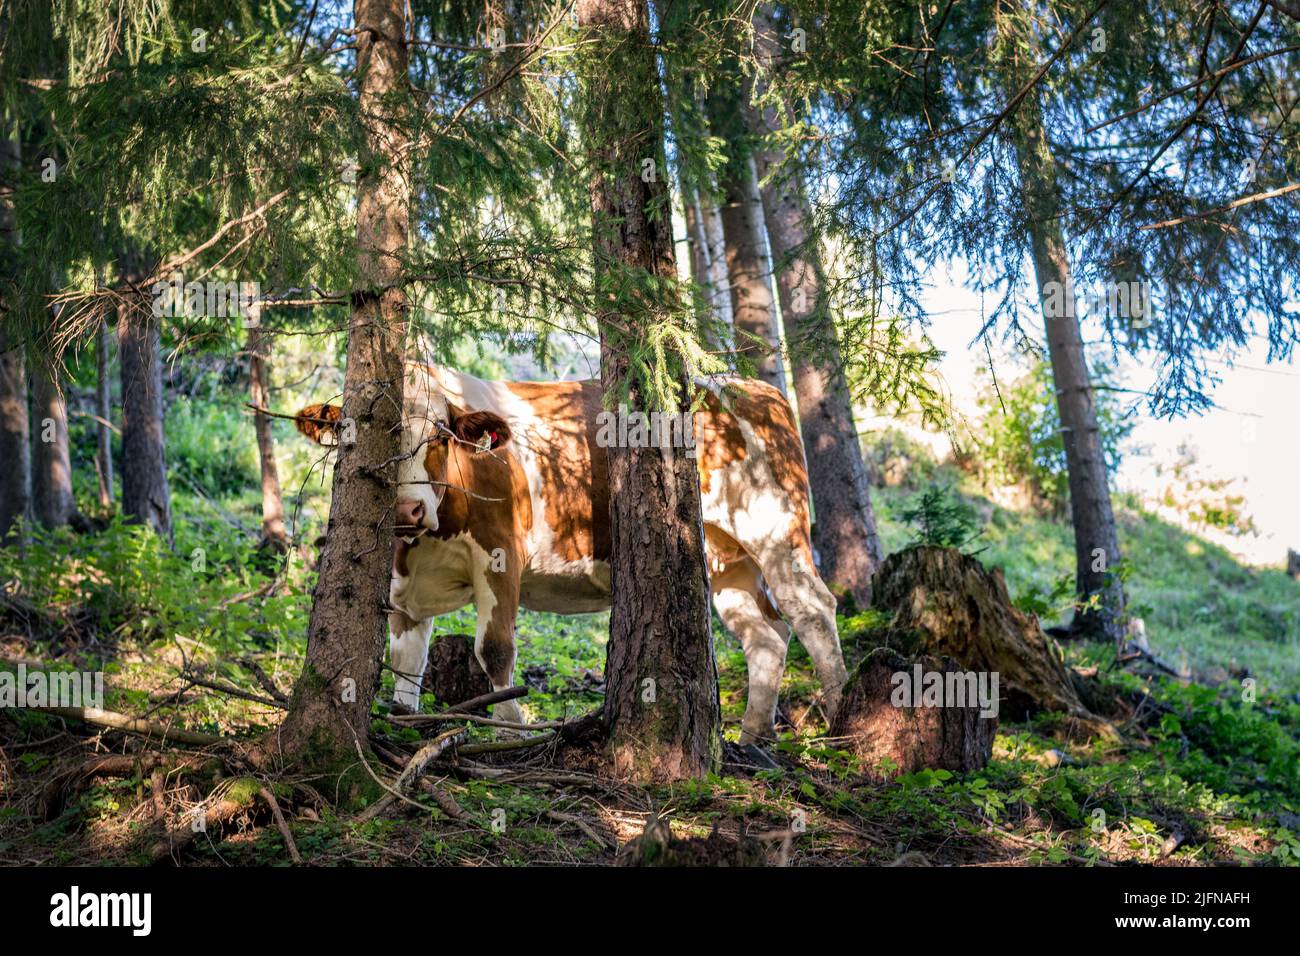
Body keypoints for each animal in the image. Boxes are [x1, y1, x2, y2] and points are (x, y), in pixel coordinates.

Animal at [295, 363, 848, 745]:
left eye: (440, 435)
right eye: (365, 435)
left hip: (775, 528)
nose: (406, 509)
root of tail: (753, 386)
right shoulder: (403, 584)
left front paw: (510, 734)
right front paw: (408, 726)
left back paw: (840, 724)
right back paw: (753, 737)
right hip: (725, 559)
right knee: (767, 638)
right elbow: (408, 664)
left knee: (813, 611)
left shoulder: (501, 553)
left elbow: (495, 651)